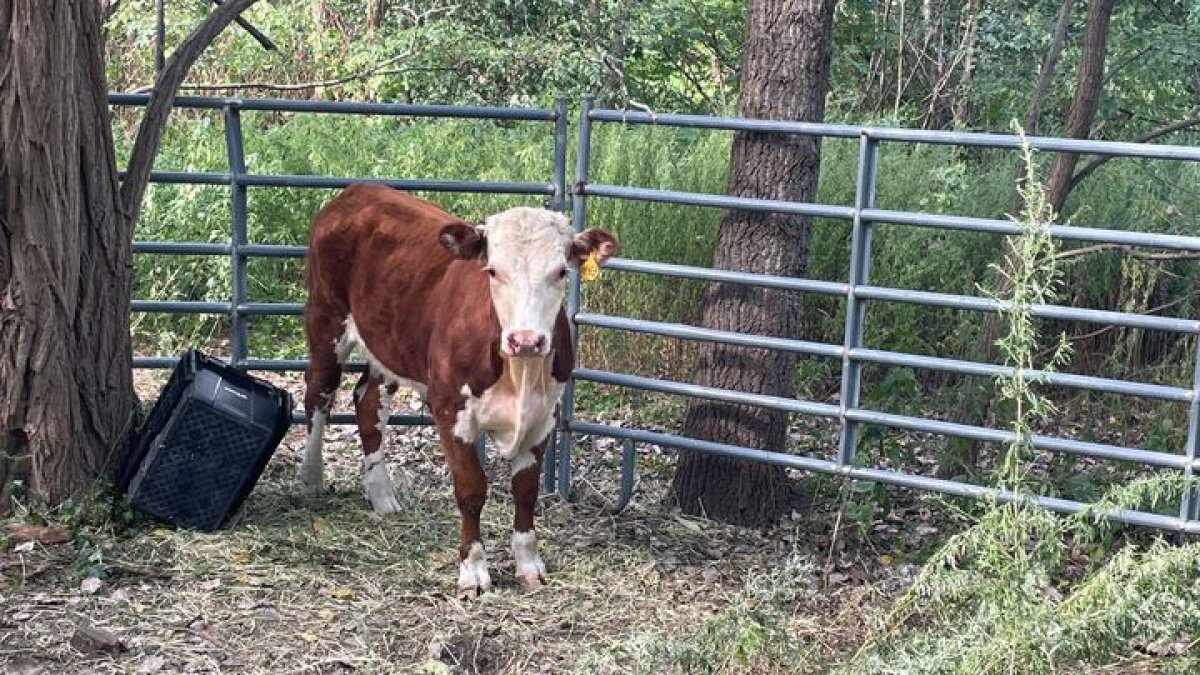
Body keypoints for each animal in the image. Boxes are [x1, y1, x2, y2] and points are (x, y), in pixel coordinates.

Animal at [298, 183, 617, 597]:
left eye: (561, 271)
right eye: (493, 270)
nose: (526, 340)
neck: (519, 372)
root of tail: (359, 190)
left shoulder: (543, 418)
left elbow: (526, 491)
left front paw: (529, 565)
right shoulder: (450, 409)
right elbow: (471, 490)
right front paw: (474, 571)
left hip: (390, 346)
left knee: (367, 403)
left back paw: (383, 496)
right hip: (325, 318)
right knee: (318, 393)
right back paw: (310, 478)